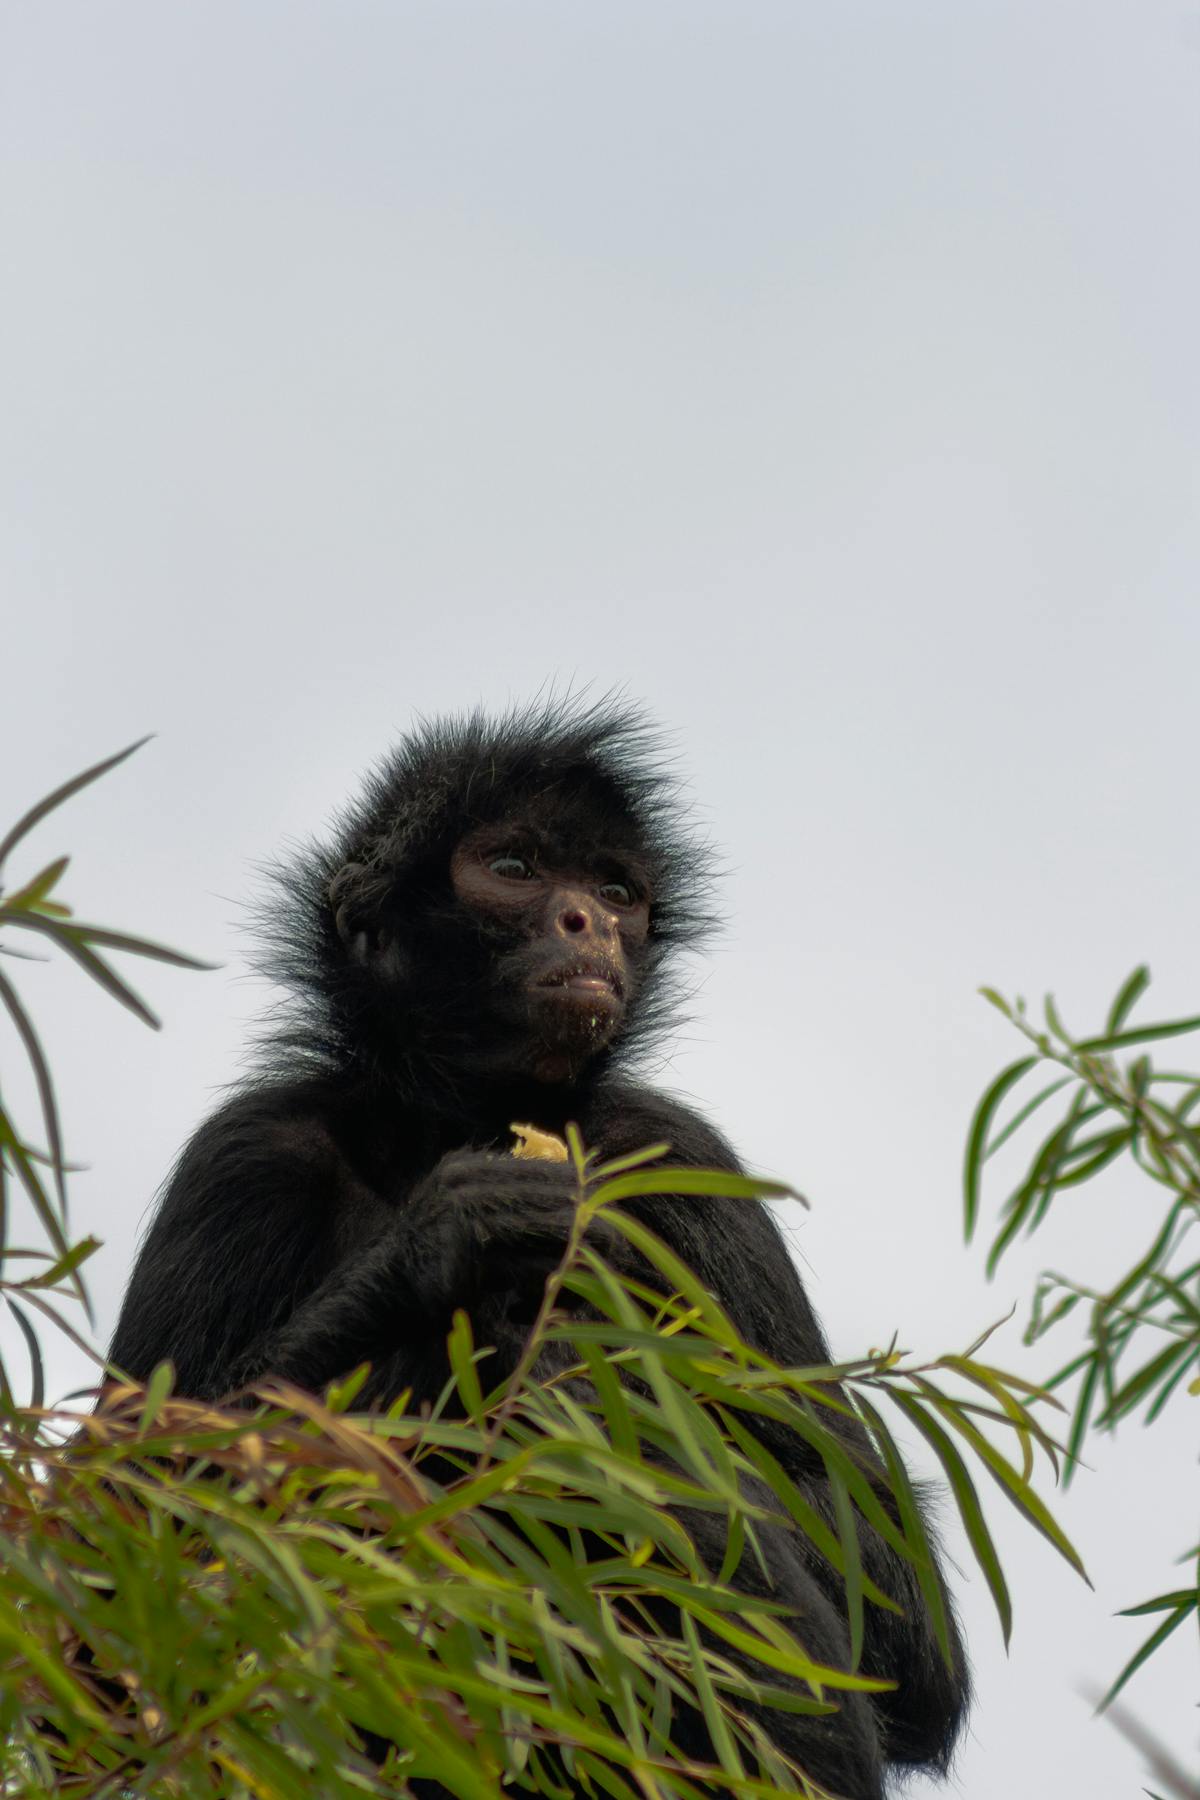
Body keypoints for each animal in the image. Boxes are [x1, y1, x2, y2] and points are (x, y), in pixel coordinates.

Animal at [109, 697, 967, 1798]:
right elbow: (112, 1599)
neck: (453, 1125)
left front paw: (581, 1379)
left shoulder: (676, 1156)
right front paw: (444, 1245)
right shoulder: (249, 1152)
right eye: (513, 868)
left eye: (617, 891)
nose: (587, 923)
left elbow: (913, 1647)